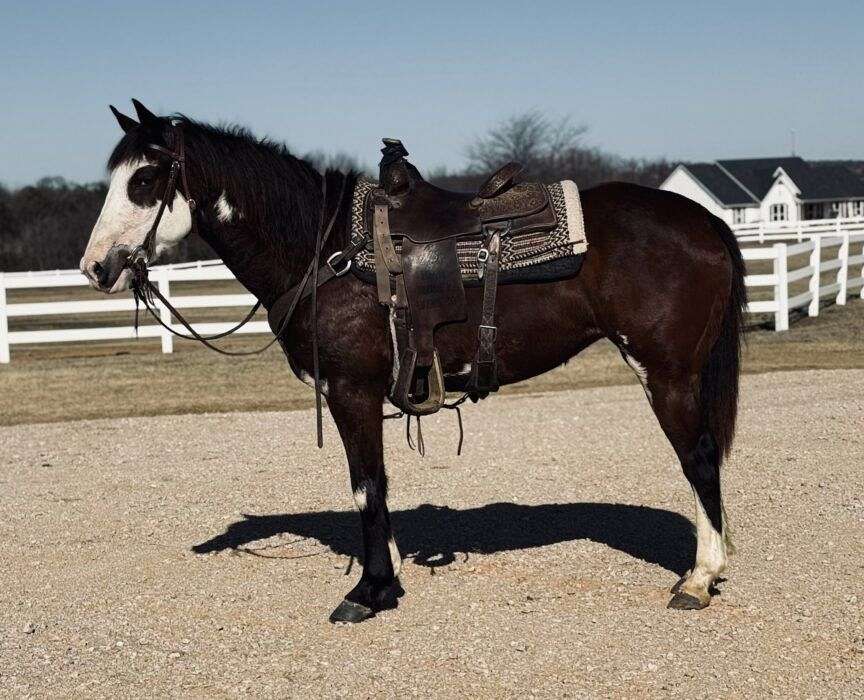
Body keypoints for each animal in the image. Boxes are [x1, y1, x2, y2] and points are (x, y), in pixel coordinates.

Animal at [80, 100, 746, 624]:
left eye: (144, 180)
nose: (96, 267)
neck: (324, 249)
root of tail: (705, 221)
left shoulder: (350, 390)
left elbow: (366, 485)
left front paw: (371, 589)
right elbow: (373, 484)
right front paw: (389, 572)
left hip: (666, 374)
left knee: (699, 457)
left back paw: (699, 578)